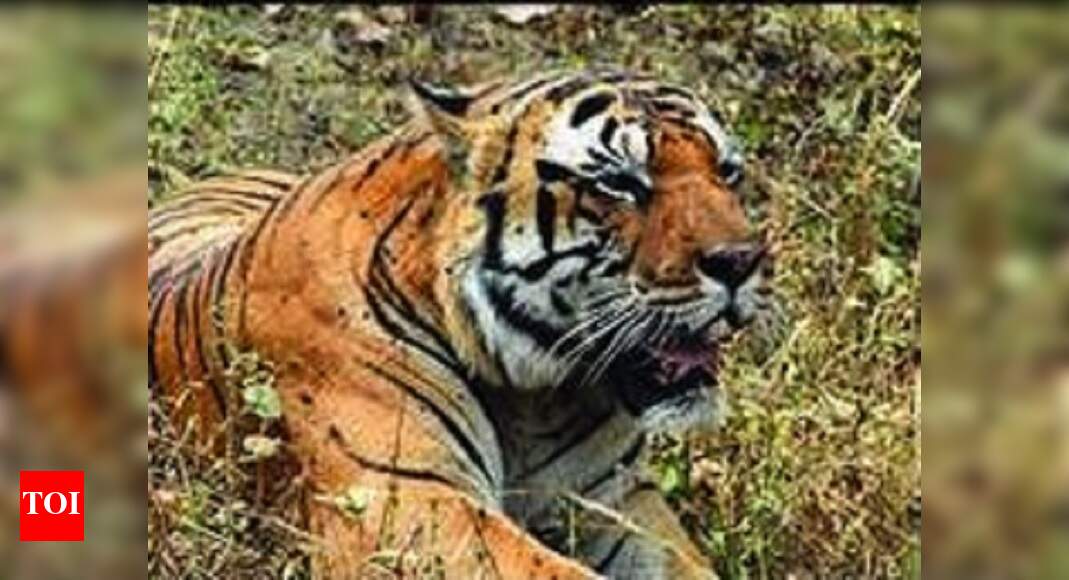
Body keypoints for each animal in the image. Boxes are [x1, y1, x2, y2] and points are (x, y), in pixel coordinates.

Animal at [148, 67, 770, 579]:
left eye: (727, 171)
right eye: (619, 182)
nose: (743, 260)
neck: (537, 398)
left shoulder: (615, 502)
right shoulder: (403, 504)